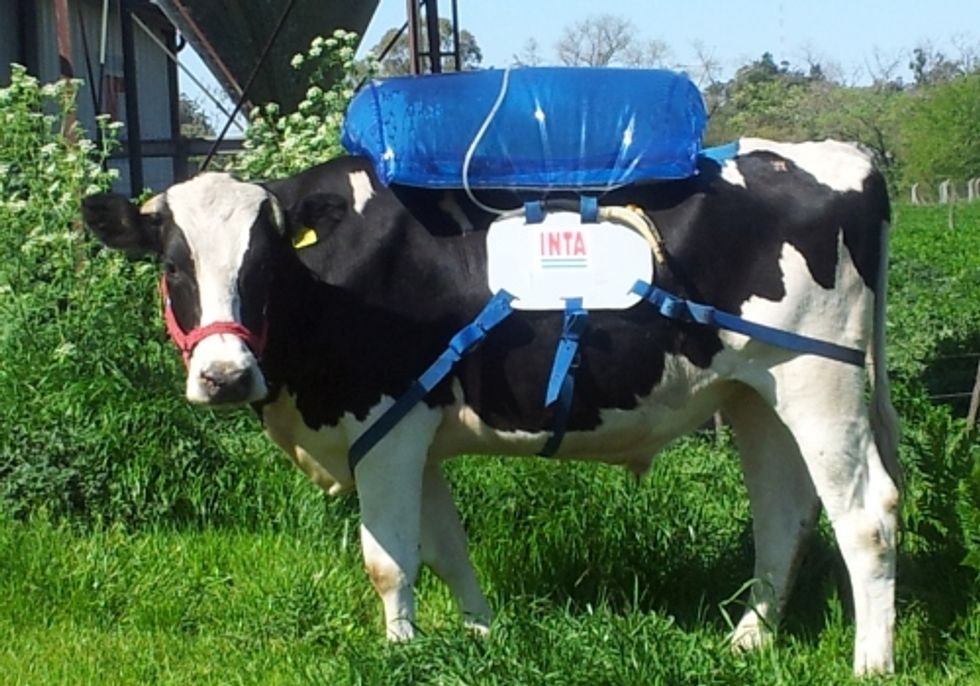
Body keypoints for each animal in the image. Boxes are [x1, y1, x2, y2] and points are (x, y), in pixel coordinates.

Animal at [81, 137, 900, 675]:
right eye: (173, 267)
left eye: (266, 265)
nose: (224, 376)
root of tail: (842, 153)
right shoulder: (412, 431)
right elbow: (446, 550)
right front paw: (478, 637)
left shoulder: (385, 431)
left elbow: (388, 560)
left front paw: (400, 651)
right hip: (755, 393)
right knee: (784, 516)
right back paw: (747, 642)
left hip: (818, 375)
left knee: (868, 518)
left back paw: (871, 663)